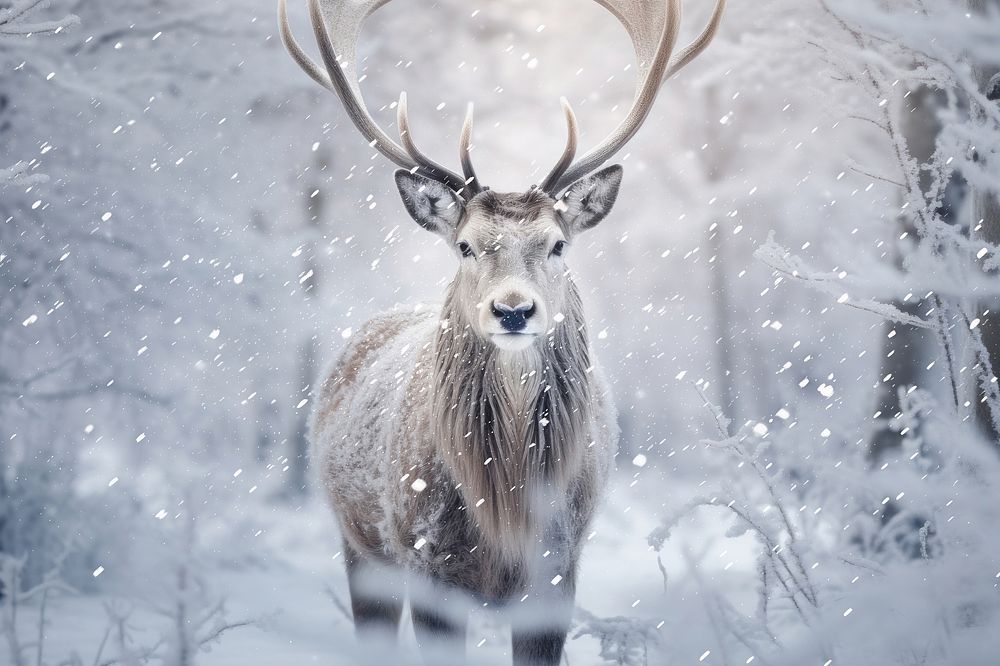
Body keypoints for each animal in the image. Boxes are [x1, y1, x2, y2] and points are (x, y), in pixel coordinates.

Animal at [277, 0, 725, 663]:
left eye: (558, 244)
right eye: (464, 245)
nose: (513, 310)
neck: (507, 507)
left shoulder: (558, 567)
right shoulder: (428, 563)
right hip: (360, 545)